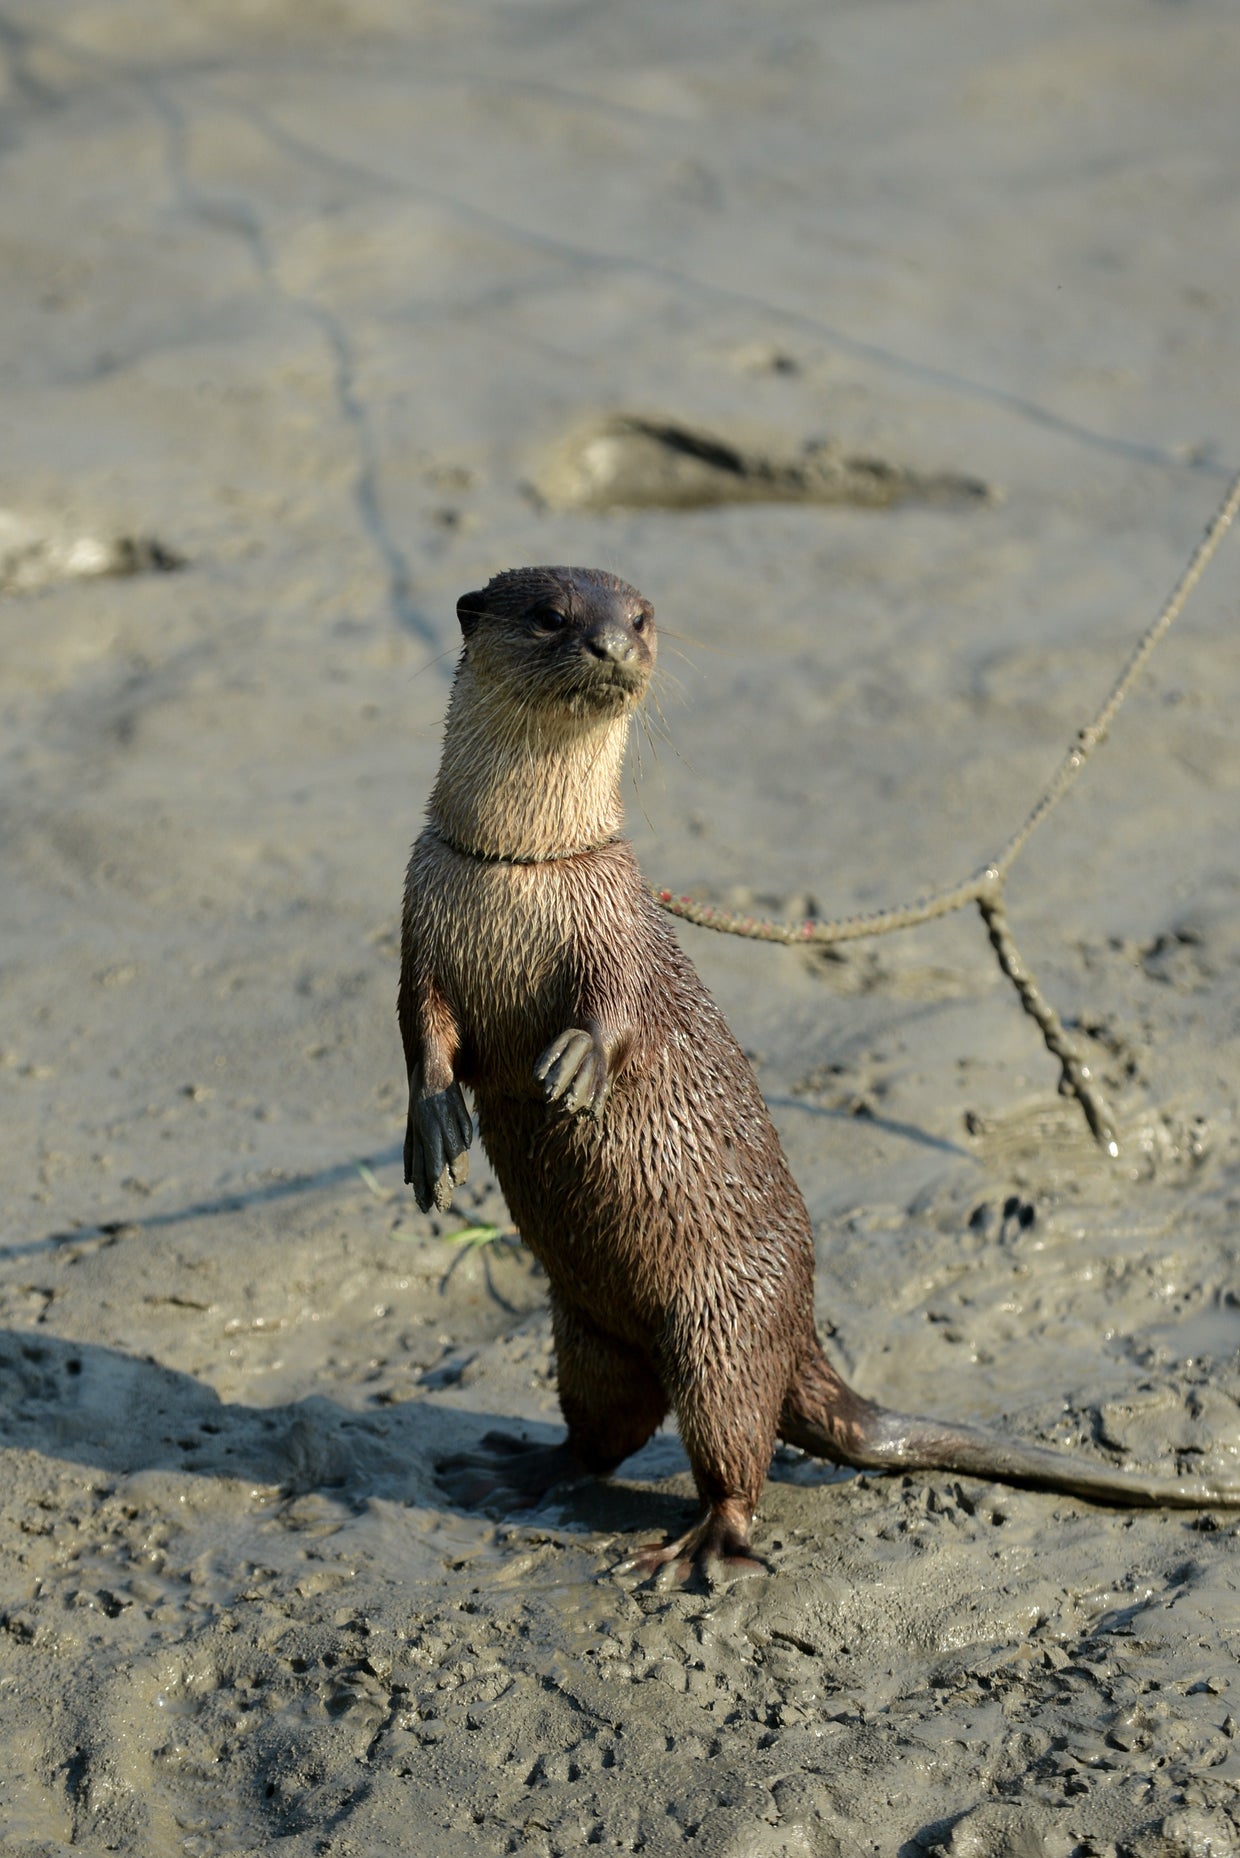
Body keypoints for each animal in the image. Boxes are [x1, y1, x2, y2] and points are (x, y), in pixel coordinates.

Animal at [399, 566, 1240, 1577]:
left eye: (641, 616)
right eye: (551, 615)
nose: (613, 644)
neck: (519, 872)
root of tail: (799, 1330)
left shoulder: (616, 918)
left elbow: (618, 1011)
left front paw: (574, 1064)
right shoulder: (421, 912)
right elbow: (420, 1031)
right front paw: (432, 1129)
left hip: (720, 1326)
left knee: (734, 1448)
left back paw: (701, 1550)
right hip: (589, 1334)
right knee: (601, 1433)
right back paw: (517, 1470)